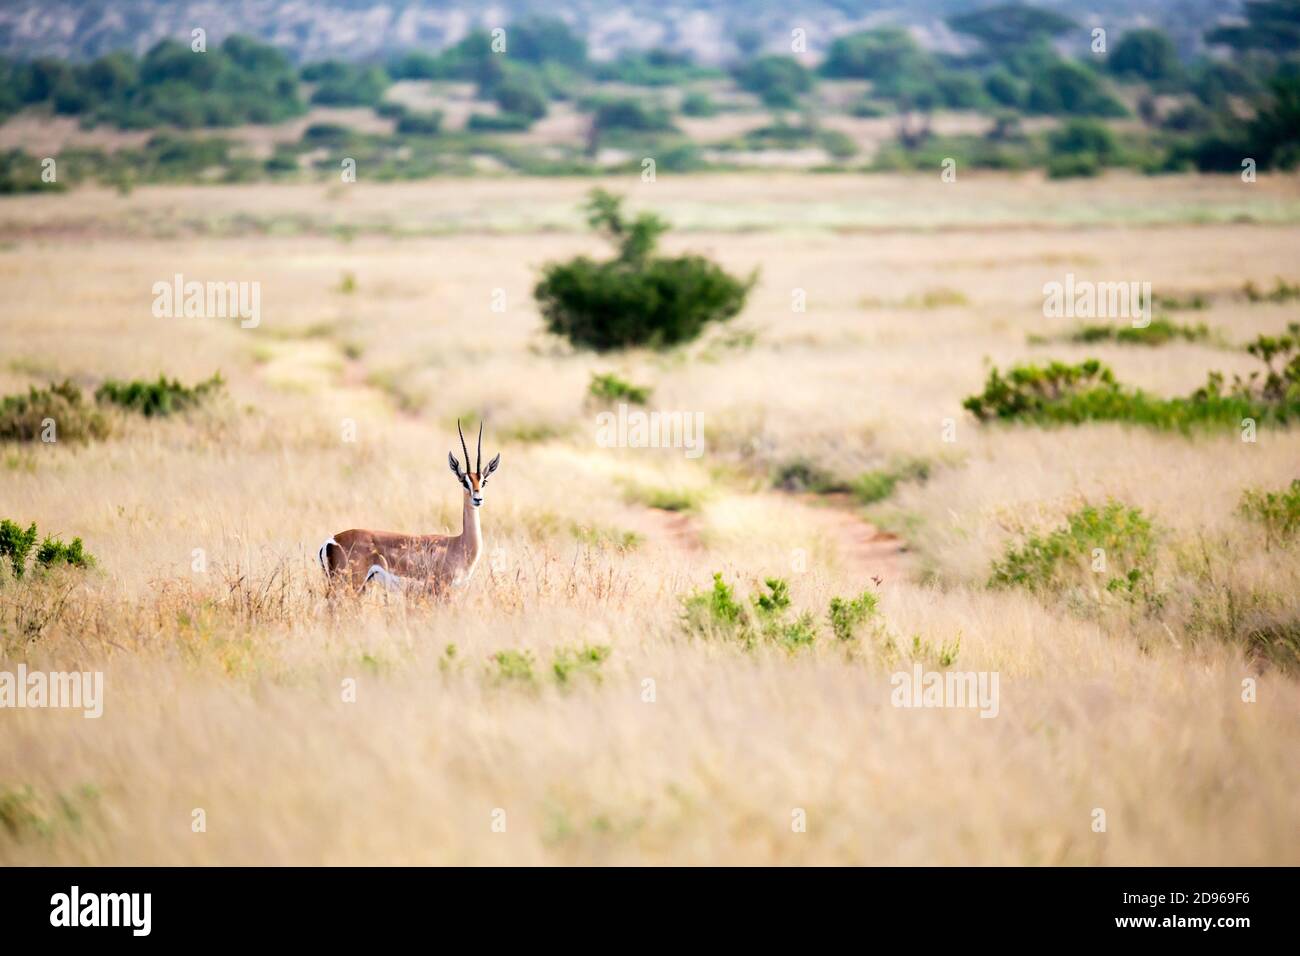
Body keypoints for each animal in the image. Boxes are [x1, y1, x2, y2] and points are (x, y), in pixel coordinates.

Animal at [319, 421, 501, 595]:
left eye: (484, 481)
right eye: (464, 481)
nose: (477, 499)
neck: (458, 544)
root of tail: (331, 540)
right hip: (348, 584)